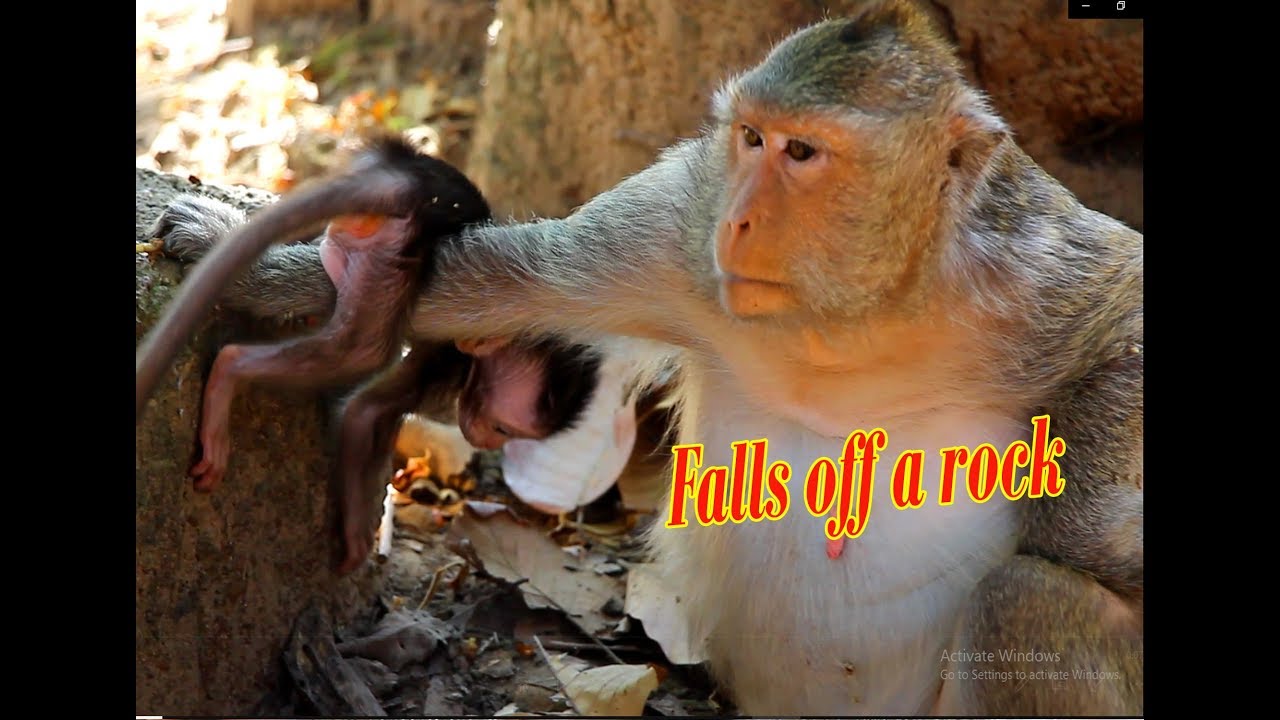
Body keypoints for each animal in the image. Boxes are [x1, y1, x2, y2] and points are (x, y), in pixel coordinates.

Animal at [138, 139, 603, 573]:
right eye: (503, 429)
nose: (487, 441)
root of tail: (412, 181)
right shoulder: (446, 363)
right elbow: (364, 412)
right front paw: (358, 534)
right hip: (390, 251)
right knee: (362, 350)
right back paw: (229, 370)